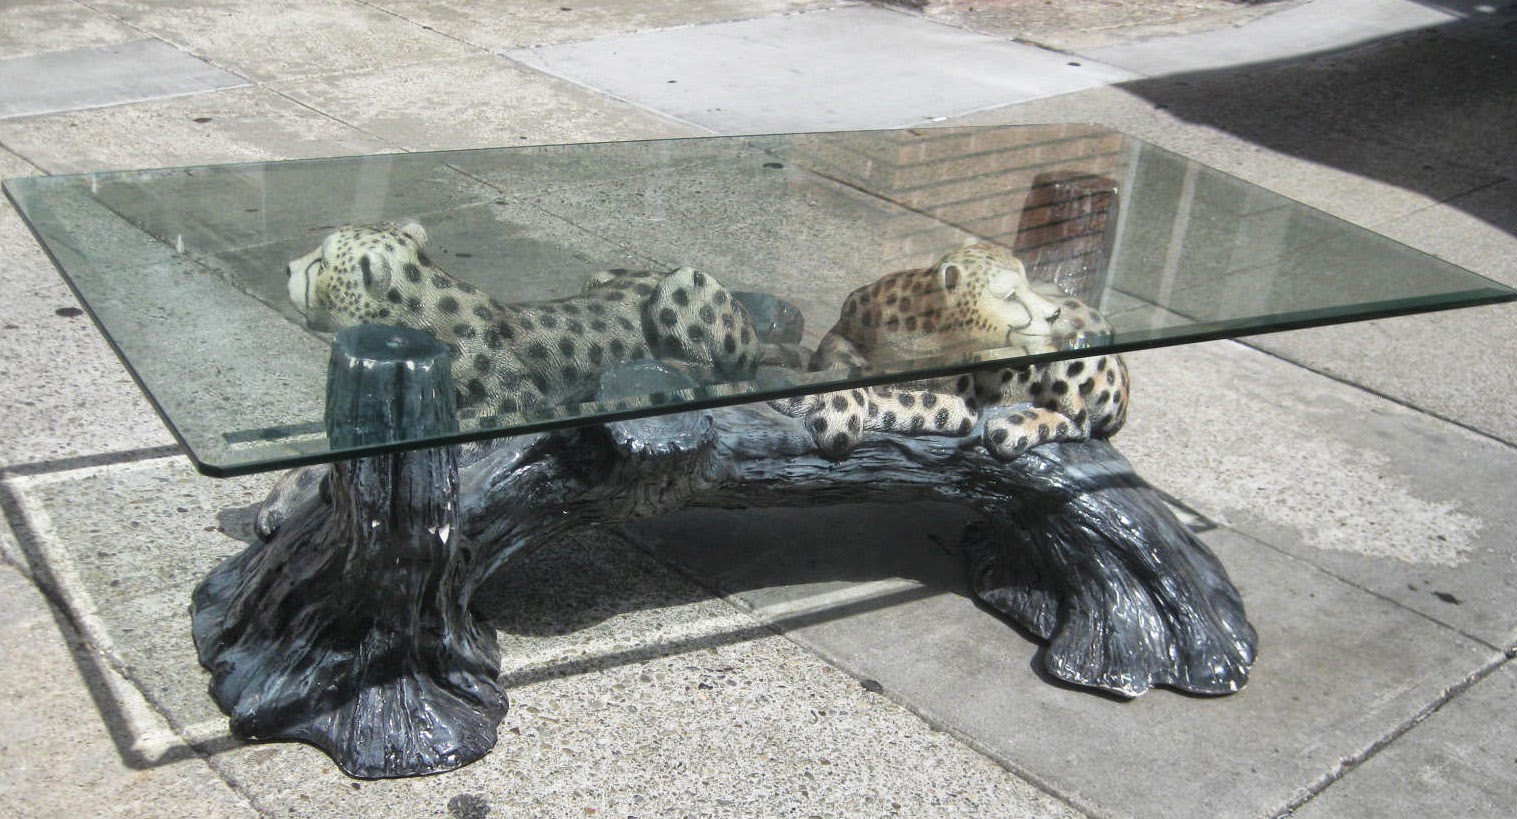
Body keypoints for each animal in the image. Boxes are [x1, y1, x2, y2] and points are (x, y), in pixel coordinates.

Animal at [285, 221, 761, 422]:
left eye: (322, 262)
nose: (288, 267)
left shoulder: (518, 397)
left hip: (683, 283)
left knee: (730, 366)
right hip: (598, 276)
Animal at [770, 242, 1129, 460]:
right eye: (1012, 295)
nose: (1054, 314)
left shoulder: (963, 402)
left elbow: (911, 402)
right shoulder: (843, 330)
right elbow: (836, 361)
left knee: (1081, 423)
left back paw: (1014, 426)